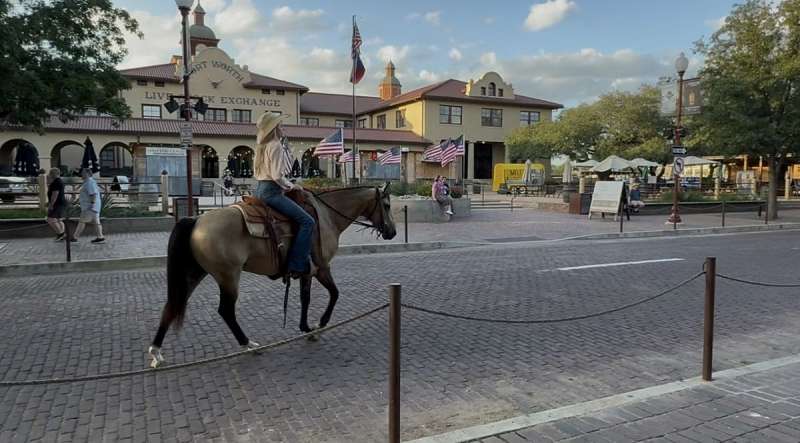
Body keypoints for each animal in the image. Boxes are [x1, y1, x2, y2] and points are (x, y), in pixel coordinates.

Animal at [147, 184, 397, 368]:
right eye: (386, 204)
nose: (393, 232)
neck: (327, 216)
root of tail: (197, 219)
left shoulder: (307, 272)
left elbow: (305, 298)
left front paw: (306, 327)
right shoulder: (322, 268)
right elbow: (335, 294)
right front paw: (319, 326)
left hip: (195, 273)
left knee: (172, 305)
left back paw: (156, 351)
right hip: (228, 276)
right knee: (226, 311)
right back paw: (248, 344)